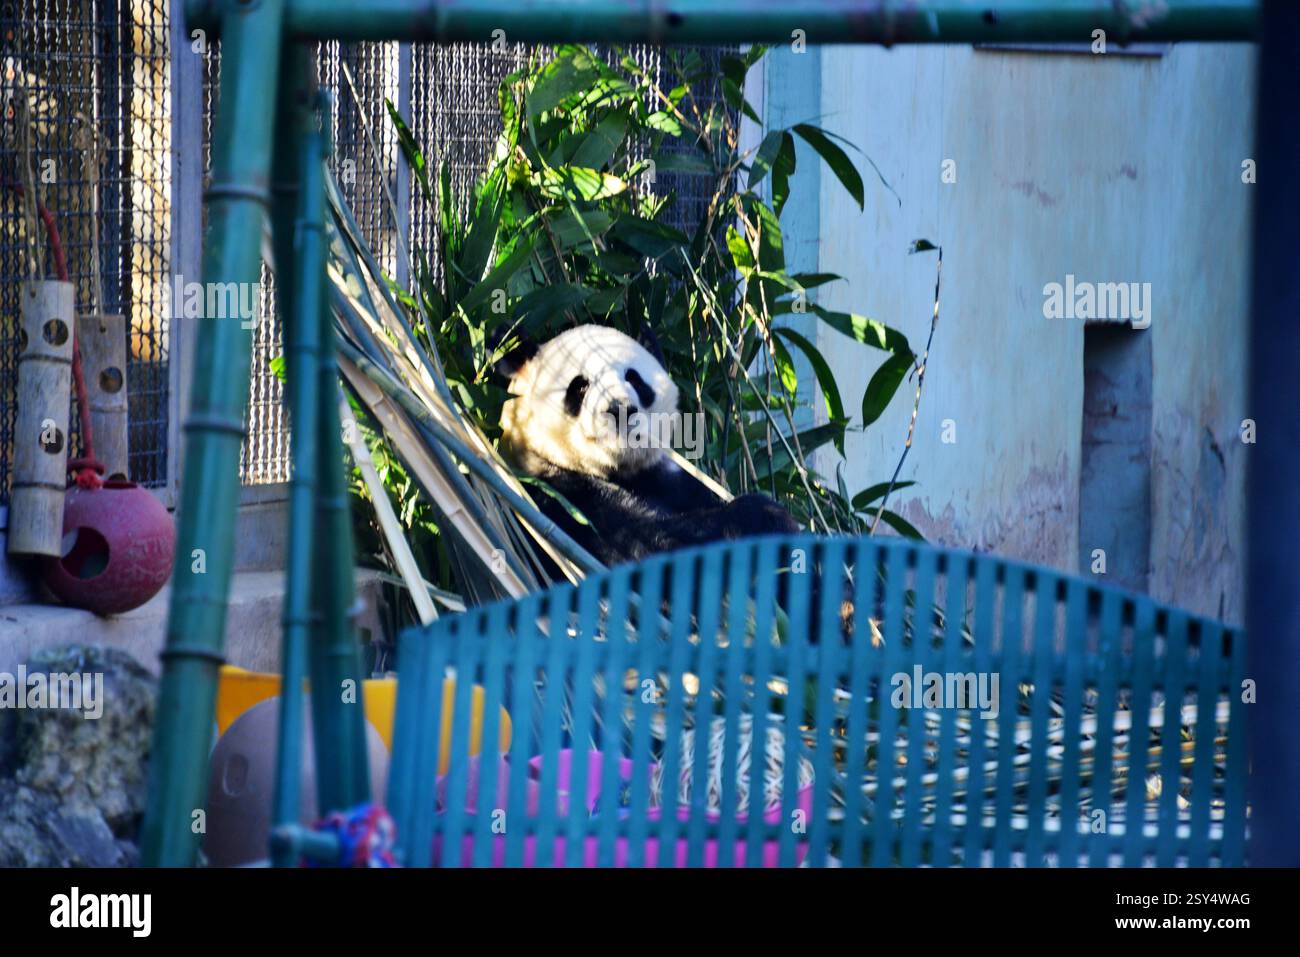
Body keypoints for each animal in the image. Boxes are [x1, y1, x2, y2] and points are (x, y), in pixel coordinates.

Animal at [493, 323, 801, 570]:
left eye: (633, 378)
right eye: (579, 387)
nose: (620, 409)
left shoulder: (671, 480)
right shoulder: (559, 499)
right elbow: (650, 547)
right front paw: (763, 517)